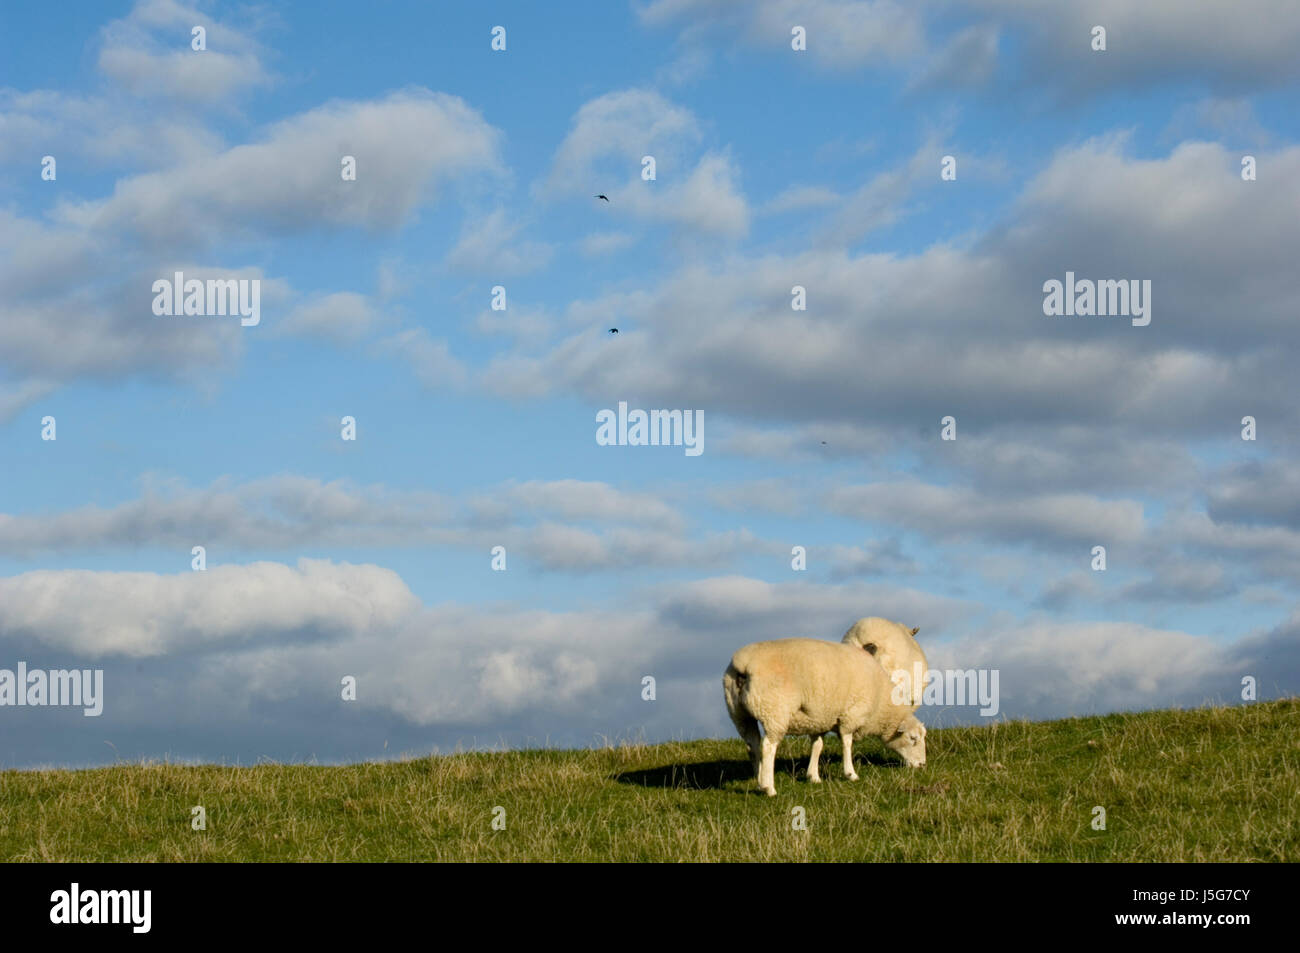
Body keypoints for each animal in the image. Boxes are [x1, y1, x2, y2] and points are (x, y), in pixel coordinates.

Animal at [723, 638, 927, 796]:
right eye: (912, 738)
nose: (922, 765)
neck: (881, 701)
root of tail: (743, 664)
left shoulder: (819, 719)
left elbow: (817, 746)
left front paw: (813, 776)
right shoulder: (850, 715)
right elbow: (847, 743)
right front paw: (850, 773)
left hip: (740, 714)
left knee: (753, 746)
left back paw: (759, 782)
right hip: (775, 712)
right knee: (768, 747)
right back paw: (769, 788)